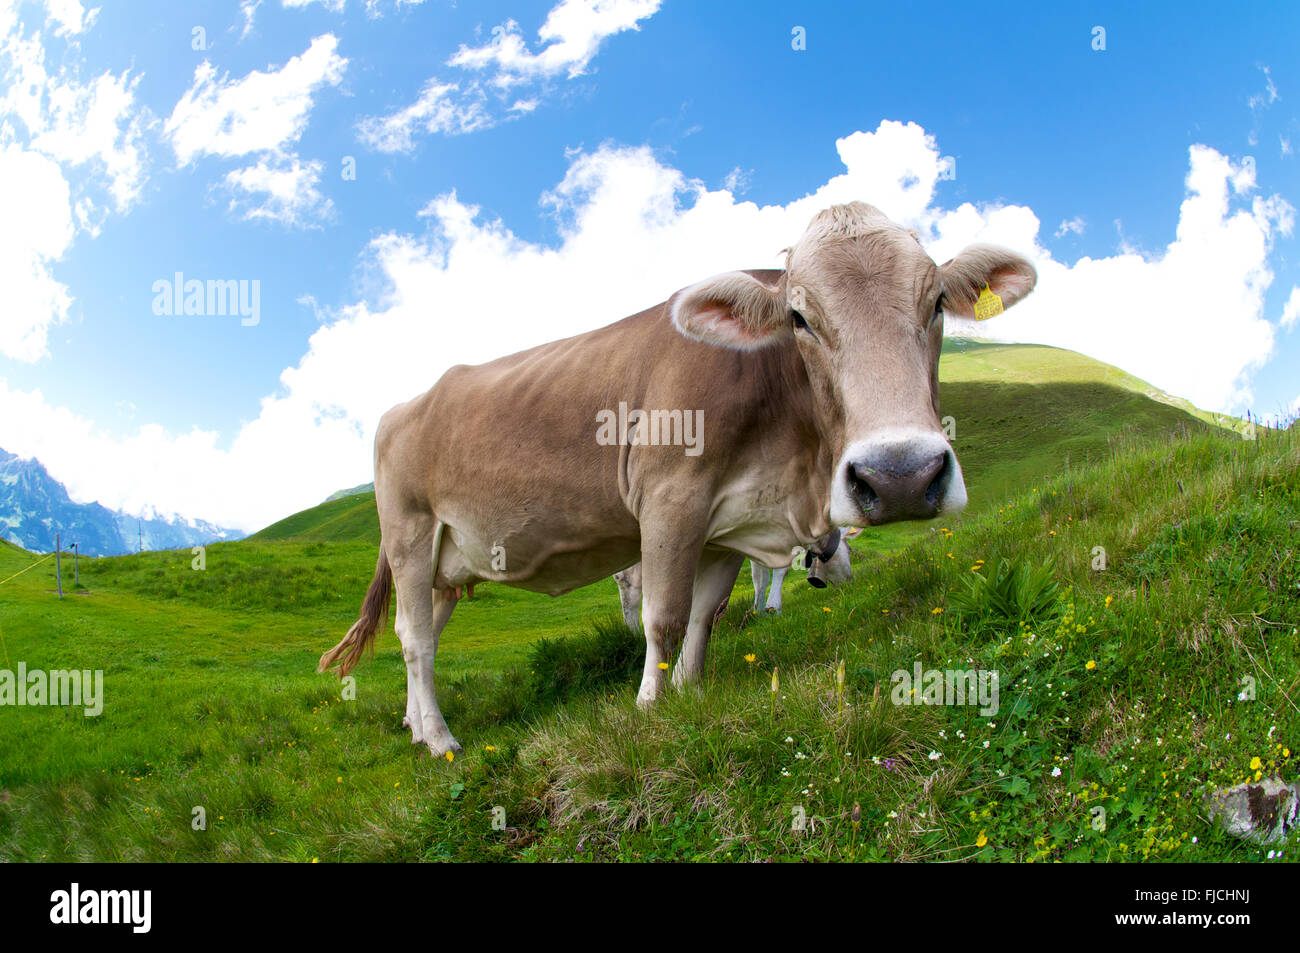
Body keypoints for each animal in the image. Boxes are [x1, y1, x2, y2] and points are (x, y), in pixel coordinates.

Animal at [320, 201, 1037, 756]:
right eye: (799, 318)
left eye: (937, 302)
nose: (901, 476)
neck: (793, 469)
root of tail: (404, 405)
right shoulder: (669, 500)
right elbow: (663, 616)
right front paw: (648, 707)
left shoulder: (727, 521)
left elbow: (705, 614)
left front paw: (691, 693)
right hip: (410, 532)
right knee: (415, 641)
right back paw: (441, 739)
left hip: (446, 562)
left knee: (422, 634)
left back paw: (416, 723)